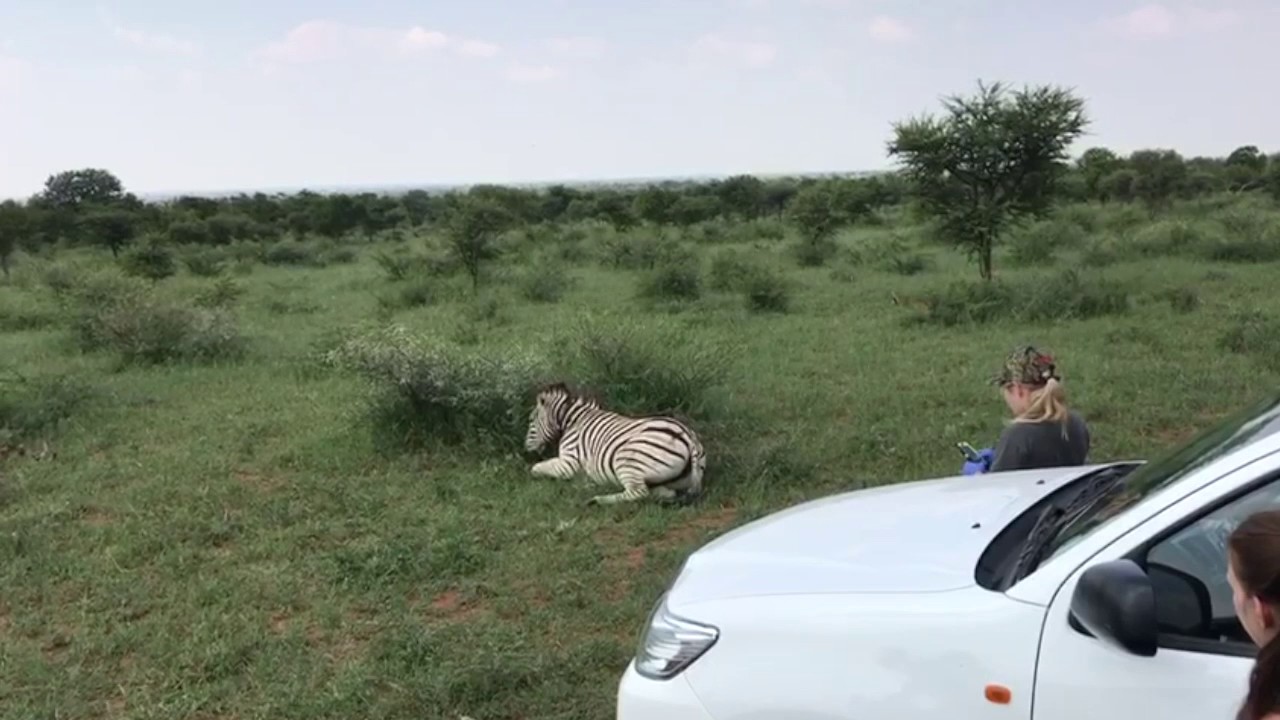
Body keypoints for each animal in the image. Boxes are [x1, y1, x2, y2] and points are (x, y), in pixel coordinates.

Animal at [523, 382, 707, 506]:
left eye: (531, 420)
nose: (526, 448)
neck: (571, 421)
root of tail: (689, 438)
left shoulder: (569, 463)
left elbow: (536, 469)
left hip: (627, 461)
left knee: (639, 493)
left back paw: (597, 500)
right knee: (664, 493)